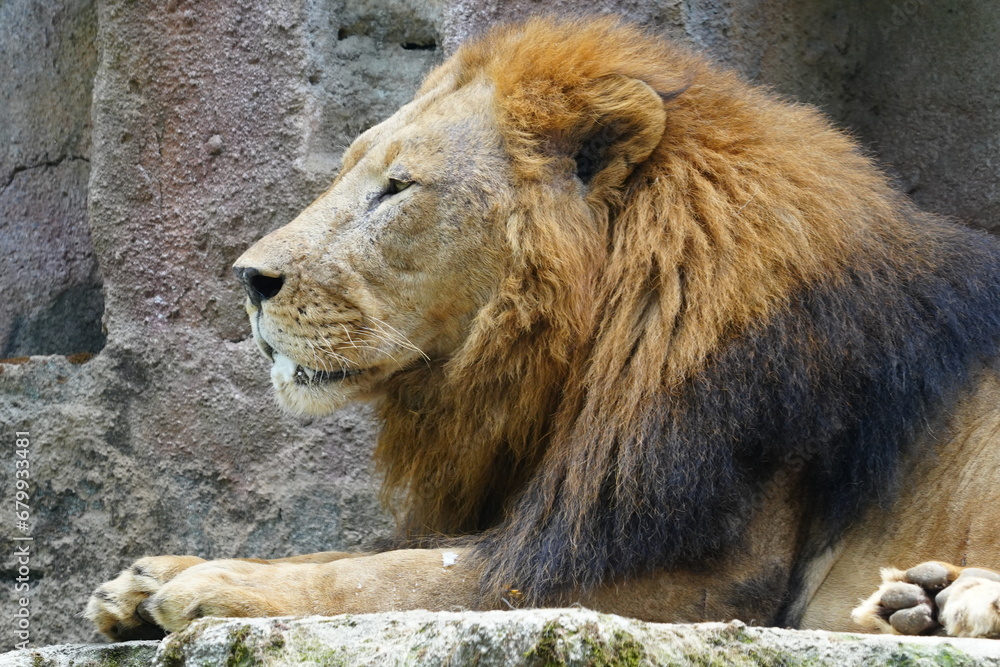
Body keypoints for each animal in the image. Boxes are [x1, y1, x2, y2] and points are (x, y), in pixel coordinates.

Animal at [86, 17, 1000, 641]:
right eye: (349, 171)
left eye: (398, 188)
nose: (248, 279)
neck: (576, 362)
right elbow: (369, 551)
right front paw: (146, 576)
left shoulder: (703, 575)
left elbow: (404, 574)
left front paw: (215, 584)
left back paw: (948, 597)